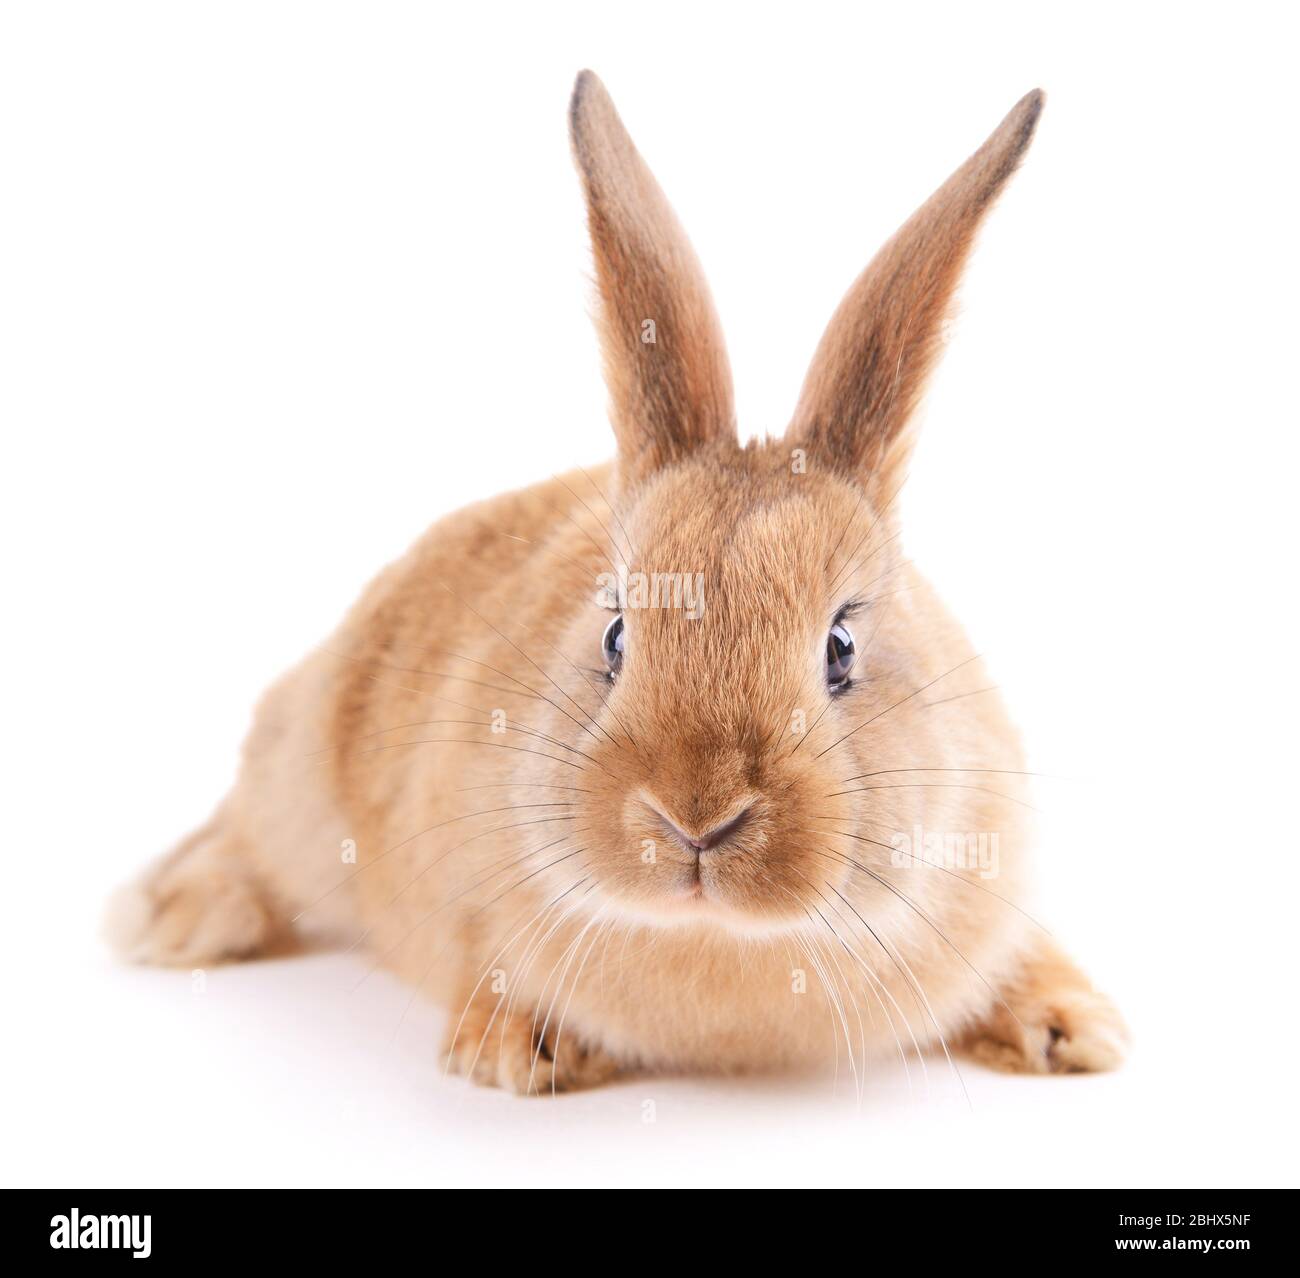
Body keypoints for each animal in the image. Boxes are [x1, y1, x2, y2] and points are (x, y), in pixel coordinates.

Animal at [107, 71, 1127, 1095]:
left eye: (841, 647)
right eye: (616, 635)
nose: (695, 817)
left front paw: (1075, 1027)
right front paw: (510, 1051)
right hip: (299, 784)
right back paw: (169, 916)